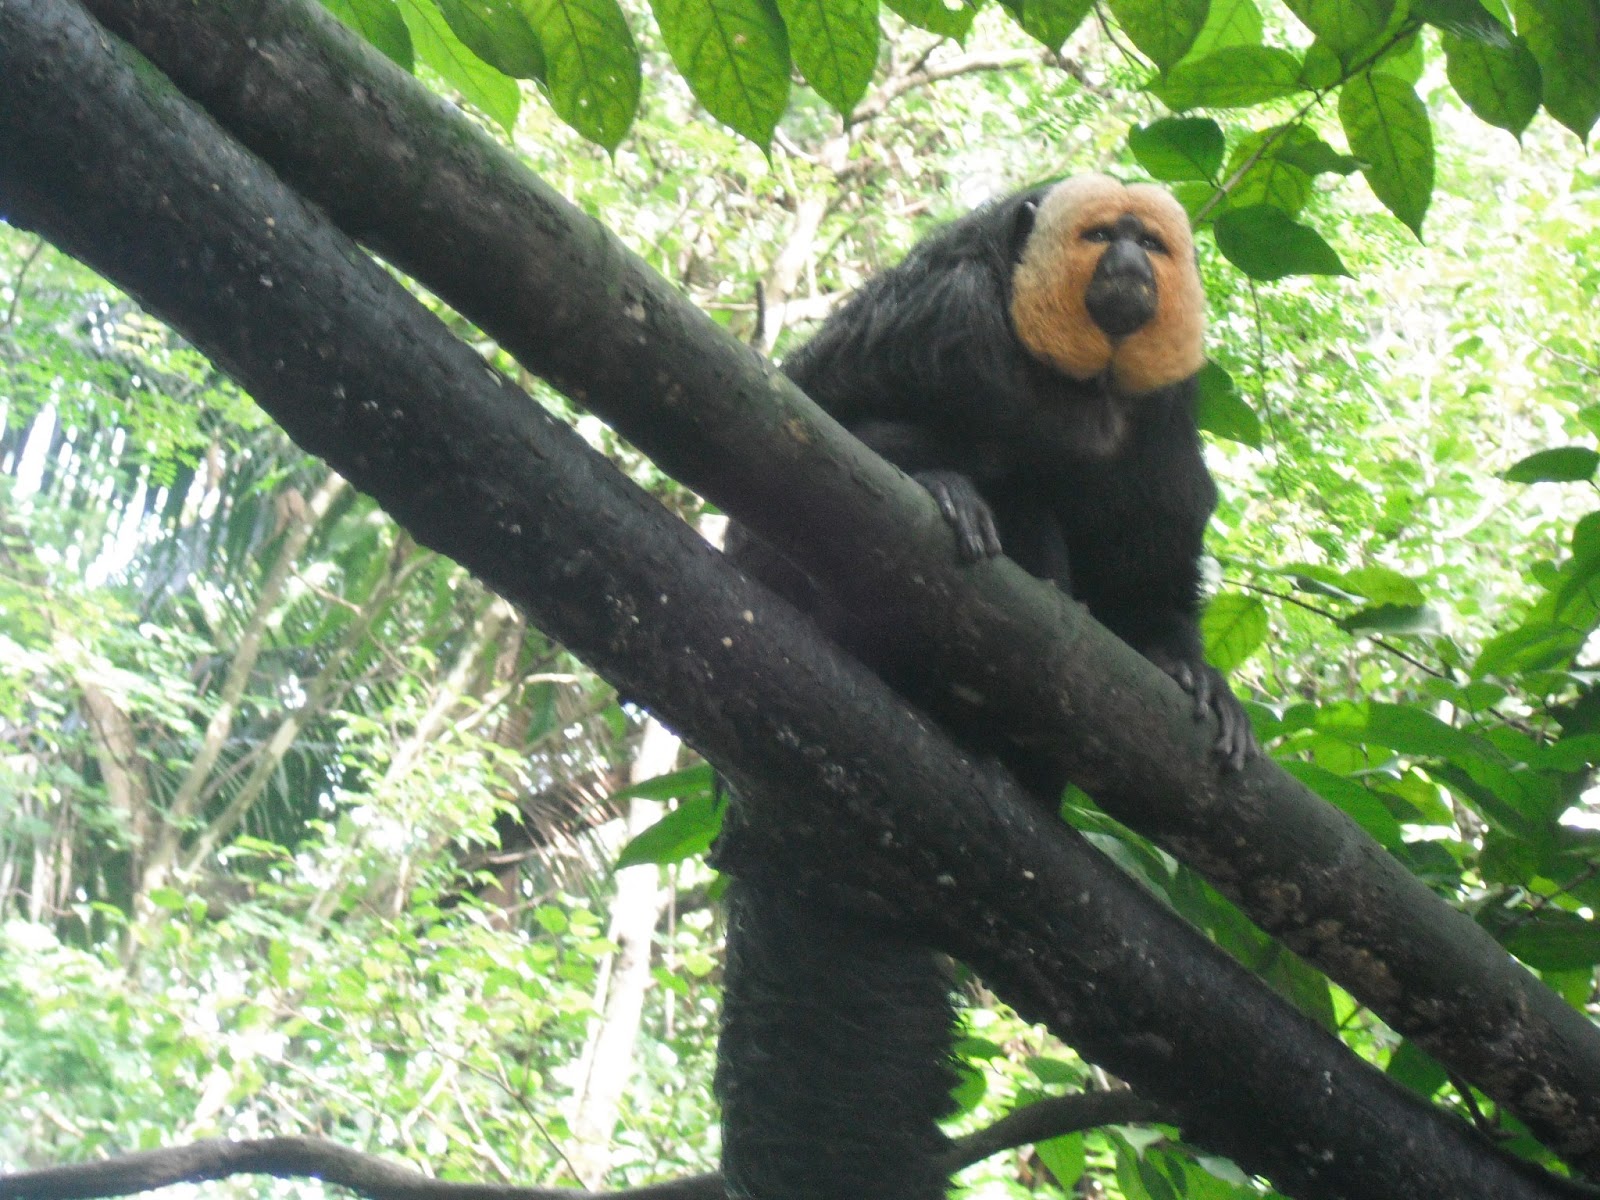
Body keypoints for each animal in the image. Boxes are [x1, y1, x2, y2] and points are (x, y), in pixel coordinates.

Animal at [715, 175, 1254, 1200]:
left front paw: (1186, 669)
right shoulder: (946, 318)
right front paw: (938, 480)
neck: (1075, 386)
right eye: (1103, 235)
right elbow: (814, 413)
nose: (1130, 263)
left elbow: (1151, 557)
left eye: (1152, 245)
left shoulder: (1162, 407)